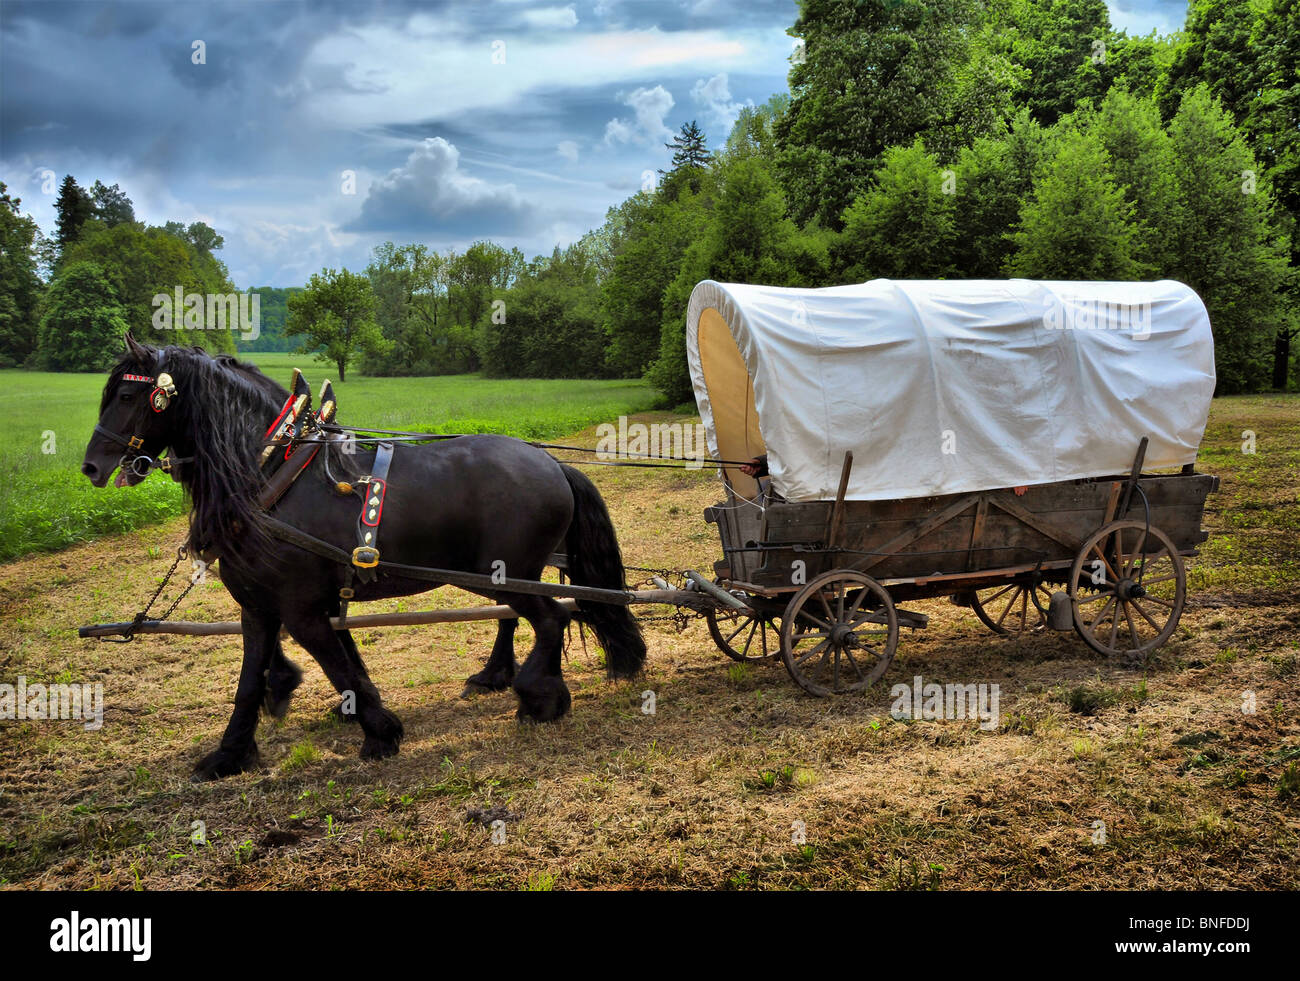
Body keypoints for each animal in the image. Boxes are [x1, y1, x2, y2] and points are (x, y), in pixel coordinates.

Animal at [81, 334, 646, 781]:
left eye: (127, 394)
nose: (91, 466)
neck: (271, 472)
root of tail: (551, 462)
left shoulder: (301, 608)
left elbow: (338, 666)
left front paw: (379, 731)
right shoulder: (260, 607)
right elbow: (252, 680)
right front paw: (230, 753)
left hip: (503, 574)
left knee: (549, 618)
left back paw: (538, 696)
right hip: (510, 573)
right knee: (536, 615)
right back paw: (509, 679)